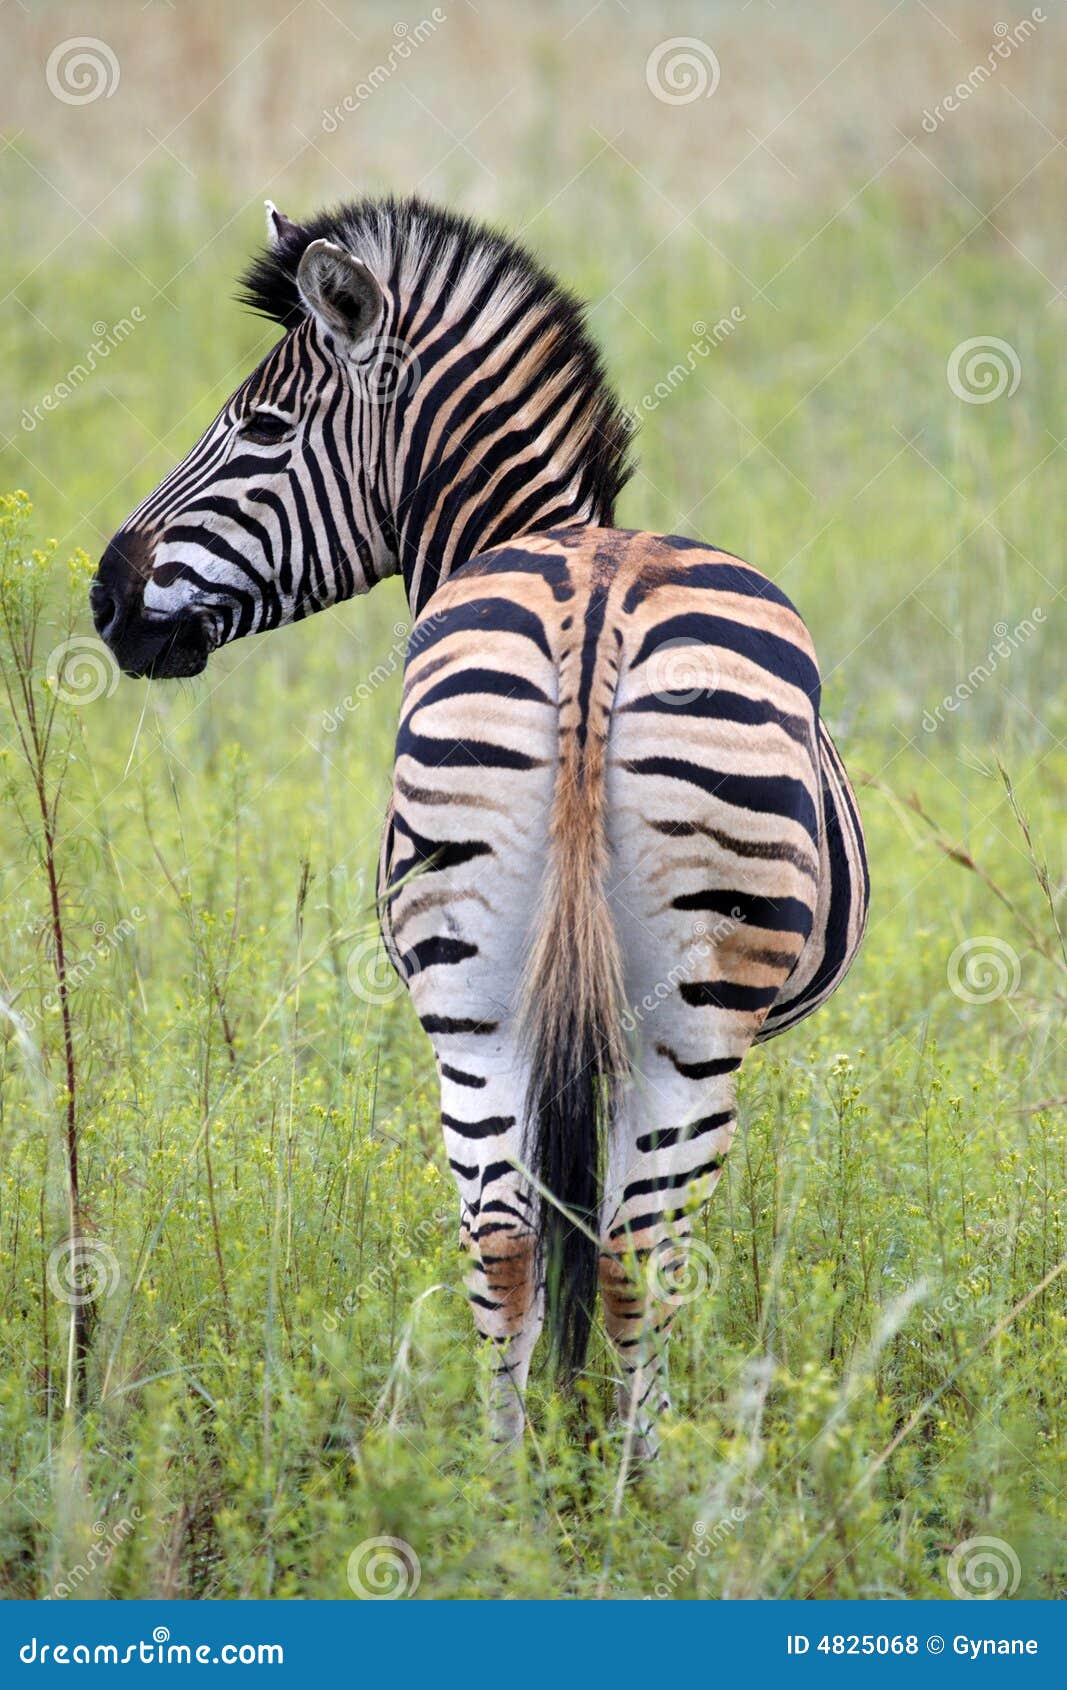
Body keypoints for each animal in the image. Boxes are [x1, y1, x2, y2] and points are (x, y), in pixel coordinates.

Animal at [92, 195, 868, 1456]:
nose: (105, 598)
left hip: (471, 988)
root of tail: (592, 607)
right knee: (636, 1254)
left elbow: (551, 1220)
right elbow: (595, 1227)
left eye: (260, 428)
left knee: (503, 1243)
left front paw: (558, 1423)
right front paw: (584, 1422)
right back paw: (641, 1486)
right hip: (686, 1015)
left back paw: (506, 1486)